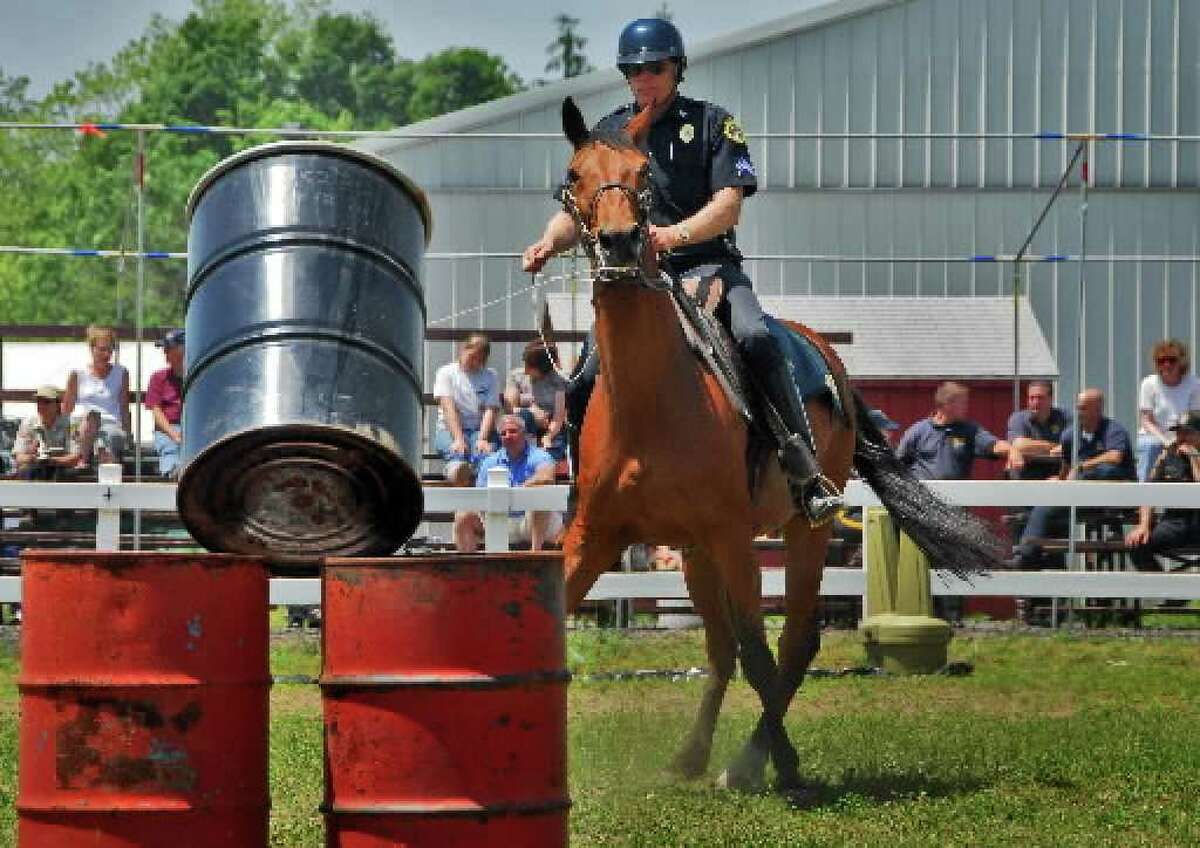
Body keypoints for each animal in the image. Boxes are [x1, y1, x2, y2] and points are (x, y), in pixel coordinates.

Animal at [553, 96, 1002, 792]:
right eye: (575, 176)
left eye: (643, 174)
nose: (621, 241)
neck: (651, 401)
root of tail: (828, 360)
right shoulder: (594, 535)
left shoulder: (734, 536)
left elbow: (759, 651)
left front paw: (775, 764)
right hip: (694, 552)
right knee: (719, 647)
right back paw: (691, 755)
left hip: (802, 530)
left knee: (793, 639)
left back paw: (749, 758)